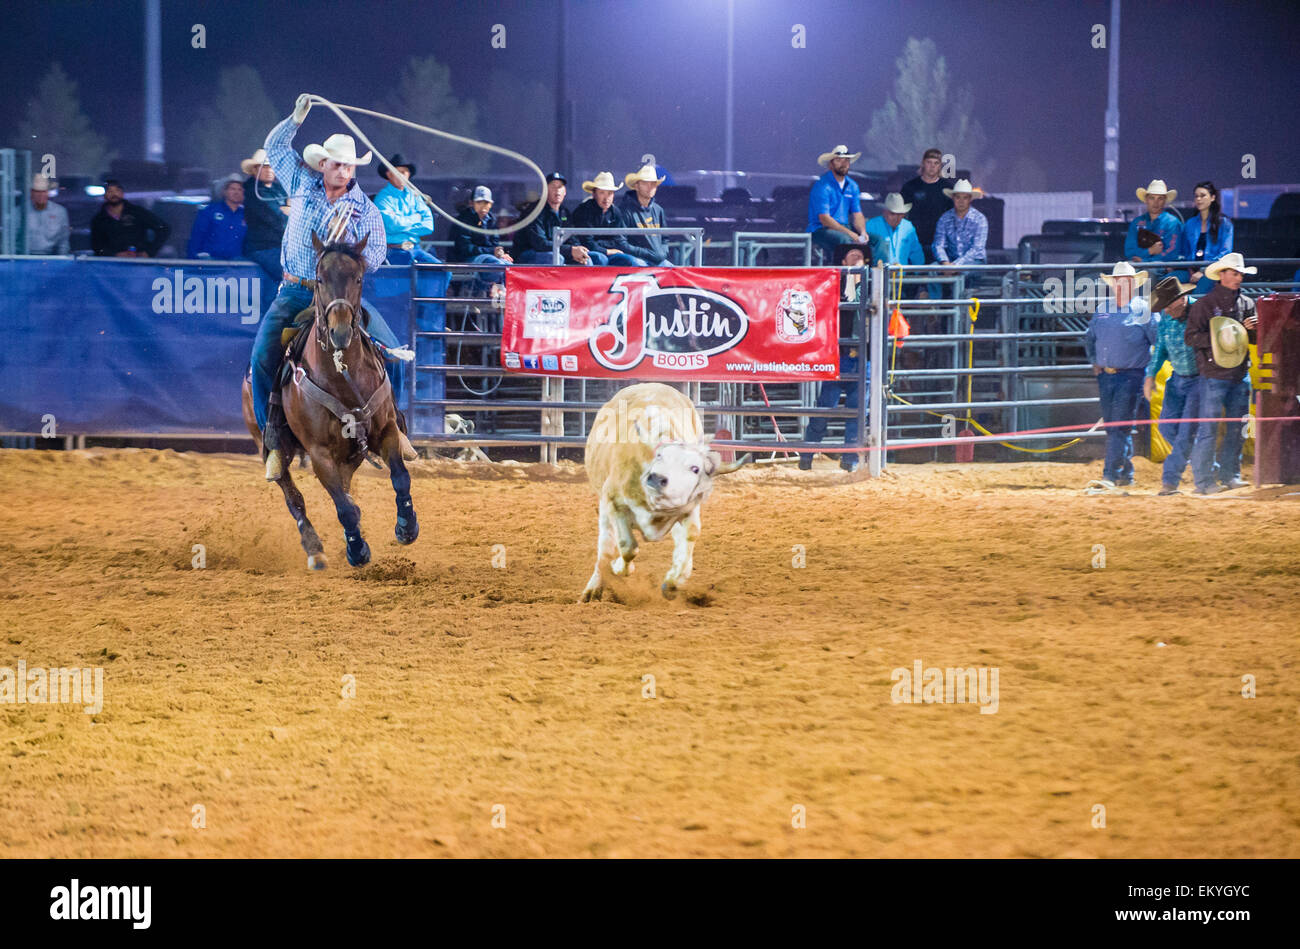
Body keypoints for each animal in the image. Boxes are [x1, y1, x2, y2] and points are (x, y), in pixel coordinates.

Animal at [581, 383, 751, 602]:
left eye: (695, 468)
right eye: (660, 457)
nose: (658, 479)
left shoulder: (688, 510)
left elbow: (690, 536)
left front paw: (673, 581)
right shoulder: (613, 501)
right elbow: (627, 547)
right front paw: (619, 567)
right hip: (604, 507)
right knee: (605, 548)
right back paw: (593, 588)